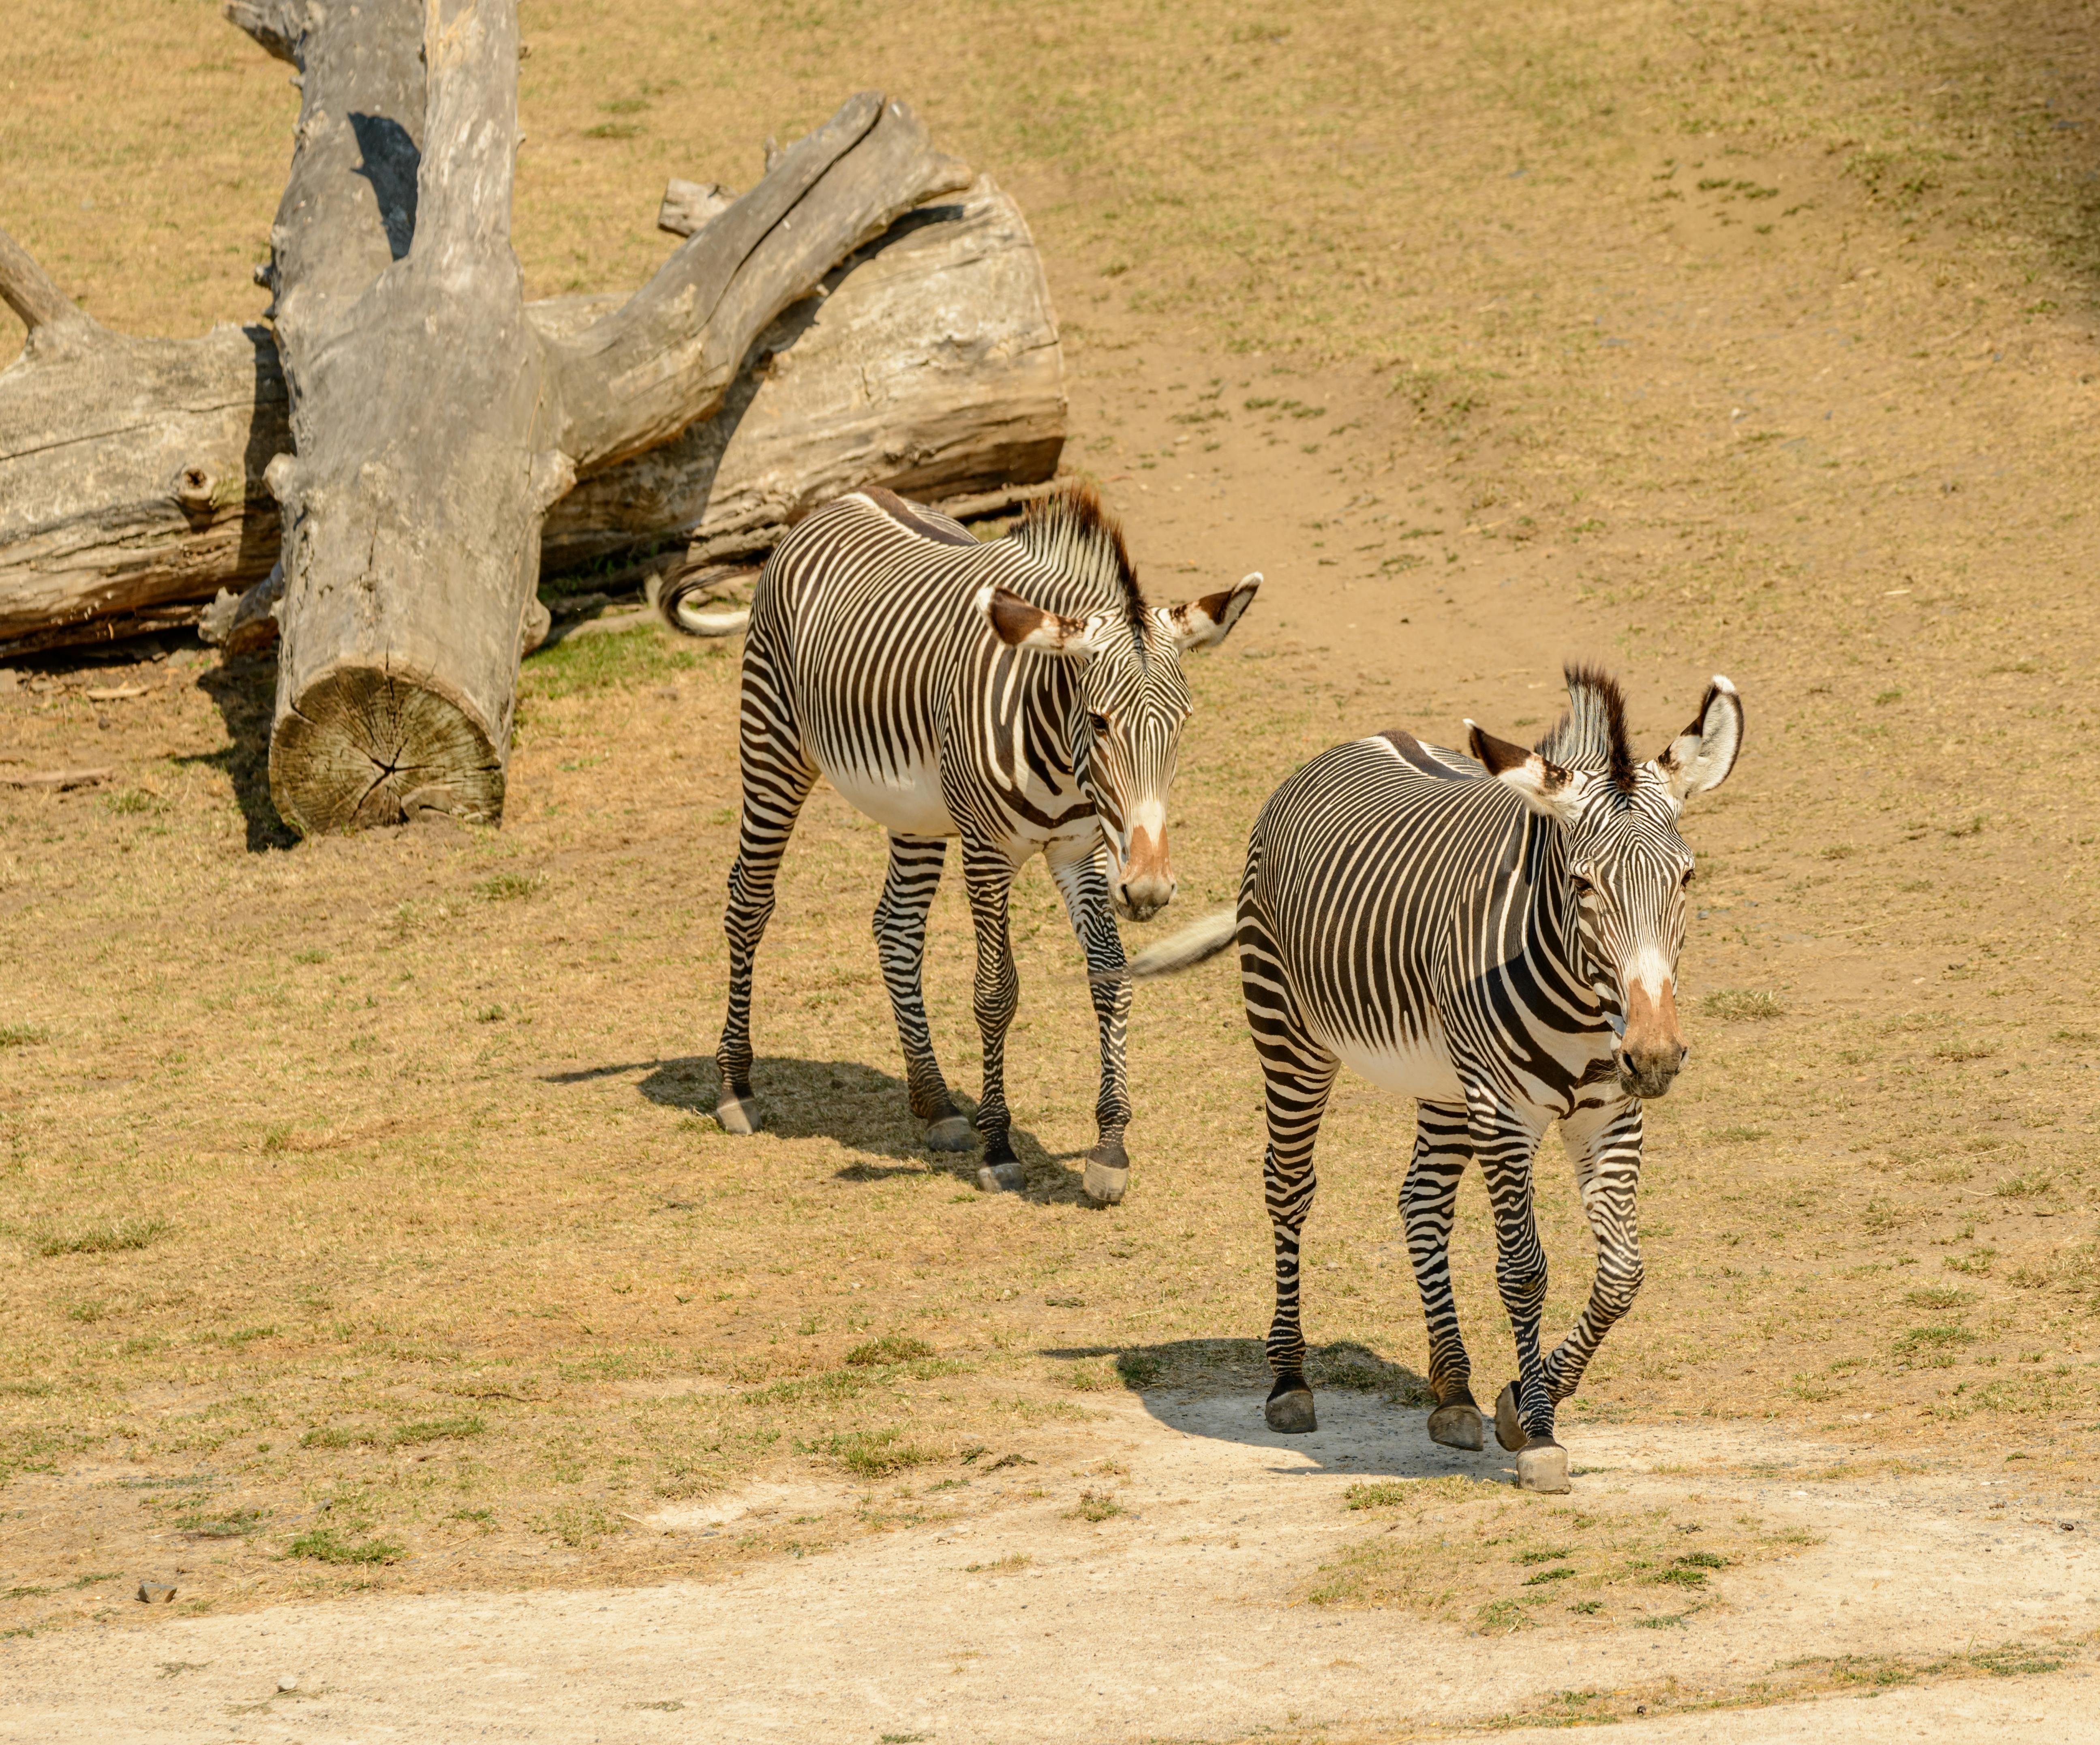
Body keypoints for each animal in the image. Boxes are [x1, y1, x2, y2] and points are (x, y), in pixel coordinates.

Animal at [708, 483, 1260, 1205]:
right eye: (1098, 721)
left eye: (1183, 723)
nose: (1148, 889)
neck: (1056, 742)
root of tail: (847, 495)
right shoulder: (987, 851)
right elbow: (996, 992)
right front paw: (998, 1144)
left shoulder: (1081, 850)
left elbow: (1110, 977)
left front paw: (1109, 1147)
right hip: (772, 743)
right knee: (749, 902)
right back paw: (735, 1086)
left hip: (914, 808)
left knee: (896, 927)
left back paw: (937, 1102)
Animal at [1124, 666, 1743, 1491]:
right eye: (1582, 886)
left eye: (1686, 877)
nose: (1654, 1056)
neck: (1585, 1007)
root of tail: (1361, 739)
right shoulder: (1504, 1112)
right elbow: (1523, 1269)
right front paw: (1540, 1433)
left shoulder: (1607, 1113)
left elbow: (1622, 1275)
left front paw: (1519, 1398)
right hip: (1290, 1031)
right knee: (1287, 1187)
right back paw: (1289, 1380)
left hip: (1446, 1081)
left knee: (1420, 1200)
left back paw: (1453, 1391)